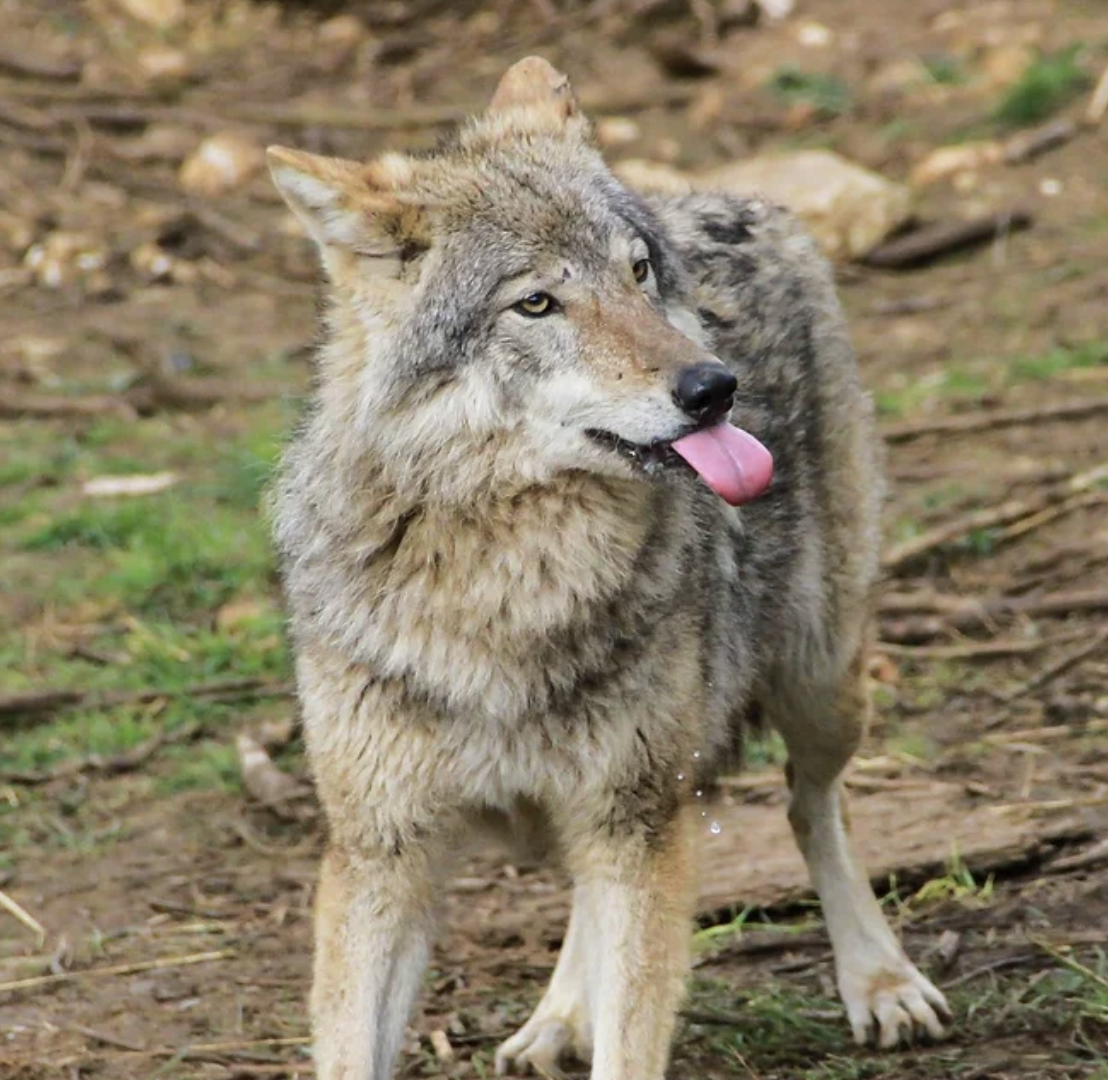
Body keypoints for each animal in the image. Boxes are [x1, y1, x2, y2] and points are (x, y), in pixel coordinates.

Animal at [265, 56, 951, 1080]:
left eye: (637, 272)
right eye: (536, 303)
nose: (715, 388)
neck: (506, 585)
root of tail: (733, 198)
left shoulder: (638, 822)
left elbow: (636, 1032)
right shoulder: (381, 855)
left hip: (818, 683)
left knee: (813, 808)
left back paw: (880, 979)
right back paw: (560, 1017)